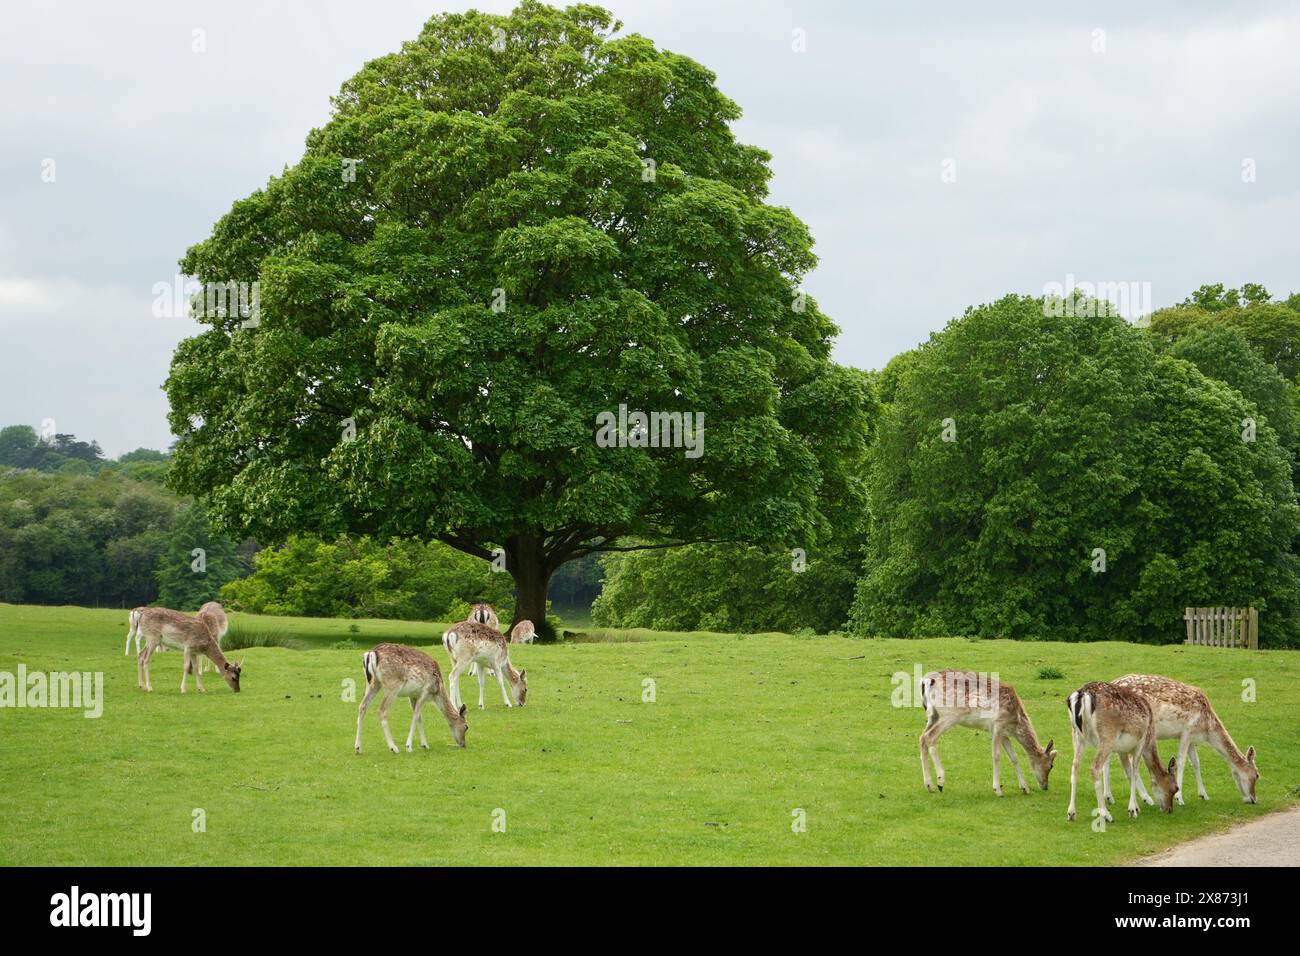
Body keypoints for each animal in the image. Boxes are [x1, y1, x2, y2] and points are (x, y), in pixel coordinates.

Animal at [918, 669, 1056, 796]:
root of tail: (927, 681)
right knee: (930, 737)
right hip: (950, 715)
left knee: (922, 738)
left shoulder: (1004, 734)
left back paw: (929, 785)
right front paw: (998, 790)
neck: (1014, 723)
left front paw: (1025, 788)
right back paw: (940, 782)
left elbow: (1014, 757)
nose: (1045, 786)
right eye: (1051, 766)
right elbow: (996, 755)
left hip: (933, 715)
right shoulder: (997, 725)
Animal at [1066, 681, 1178, 822]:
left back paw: (1071, 813)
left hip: (1076, 735)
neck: (1151, 738)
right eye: (1175, 789)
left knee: (1075, 766)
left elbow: (1129, 773)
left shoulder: (1122, 751)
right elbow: (1134, 772)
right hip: (1107, 736)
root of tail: (1082, 694)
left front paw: (1136, 807)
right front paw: (1132, 810)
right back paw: (1106, 815)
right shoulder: (1140, 743)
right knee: (1095, 767)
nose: (1169, 809)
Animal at [1101, 674, 1258, 807]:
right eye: (1257, 775)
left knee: (1109, 758)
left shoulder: (1192, 739)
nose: (1254, 799)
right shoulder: (1186, 732)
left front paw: (1204, 795)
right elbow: (1182, 762)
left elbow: (1196, 762)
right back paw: (1145, 798)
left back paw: (1109, 797)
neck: (1207, 728)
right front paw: (1179, 798)